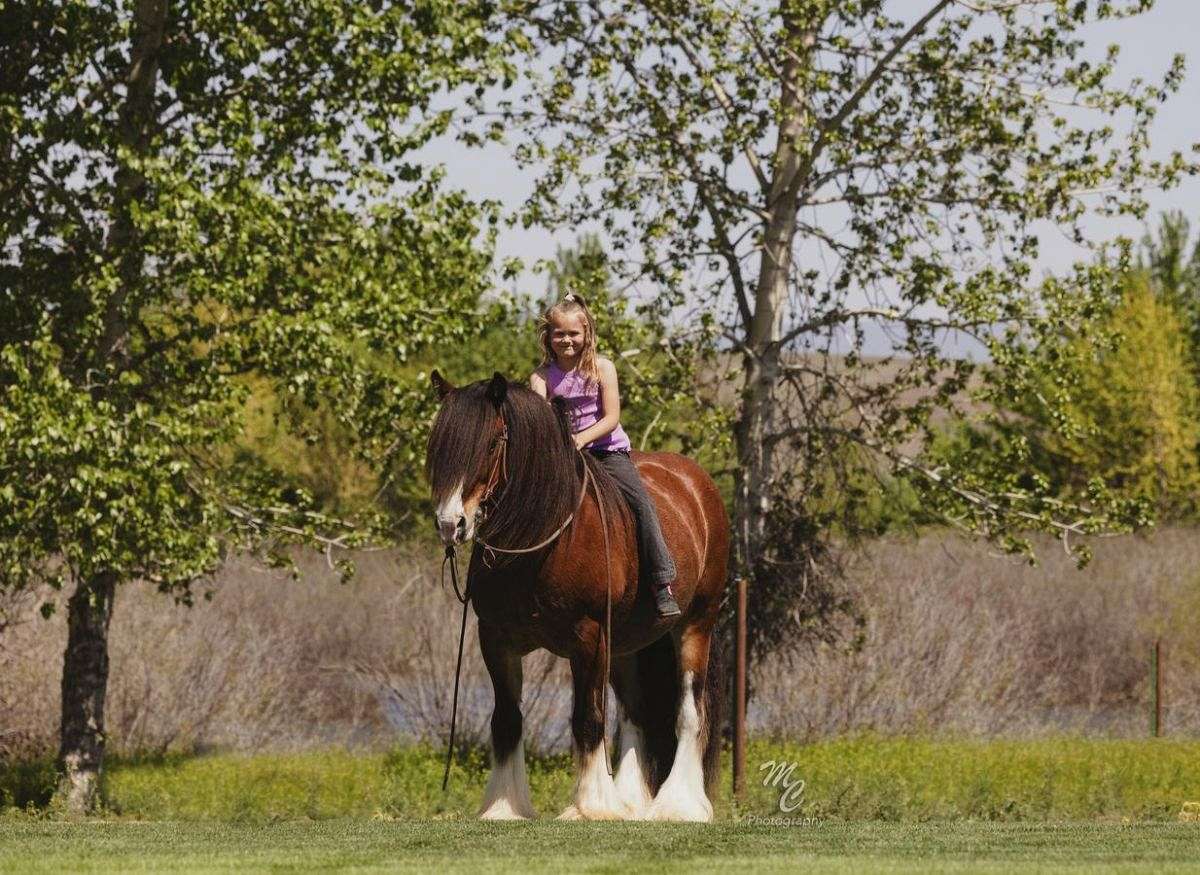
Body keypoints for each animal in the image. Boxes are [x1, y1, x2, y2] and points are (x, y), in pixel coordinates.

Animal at [425, 370, 730, 821]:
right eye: (438, 447)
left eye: (493, 442)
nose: (451, 524)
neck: (541, 538)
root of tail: (697, 483)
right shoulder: (496, 639)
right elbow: (507, 721)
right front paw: (505, 806)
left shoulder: (588, 638)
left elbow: (588, 719)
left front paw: (589, 807)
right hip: (624, 646)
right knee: (636, 713)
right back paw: (631, 801)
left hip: (696, 624)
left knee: (690, 713)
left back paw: (678, 805)